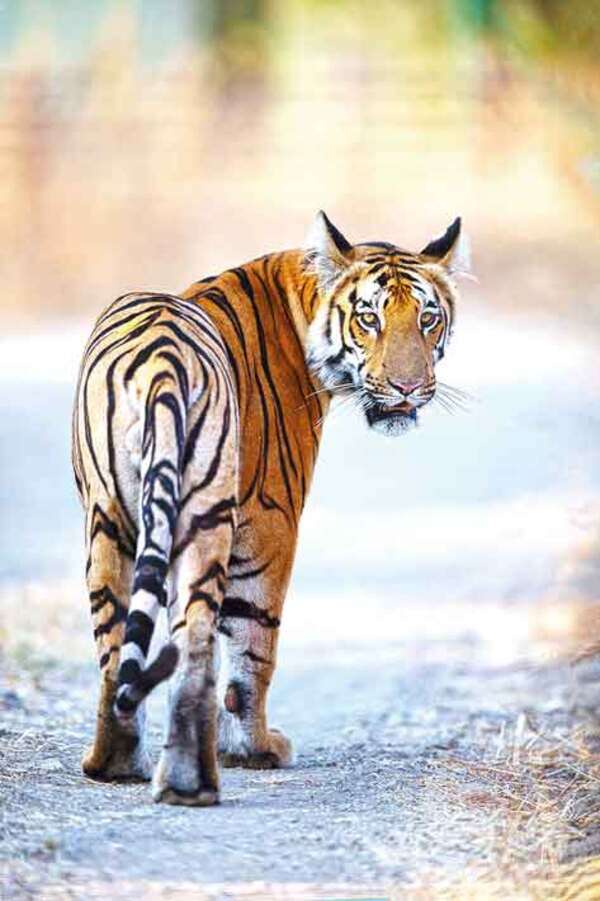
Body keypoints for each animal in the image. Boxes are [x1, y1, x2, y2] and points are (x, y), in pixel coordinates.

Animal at [71, 211, 469, 806]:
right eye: (369, 318)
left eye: (427, 318)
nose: (408, 388)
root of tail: (162, 363)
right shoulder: (270, 519)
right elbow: (254, 643)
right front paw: (253, 749)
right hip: (206, 517)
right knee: (196, 642)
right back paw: (192, 782)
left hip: (109, 521)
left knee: (115, 649)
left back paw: (114, 764)